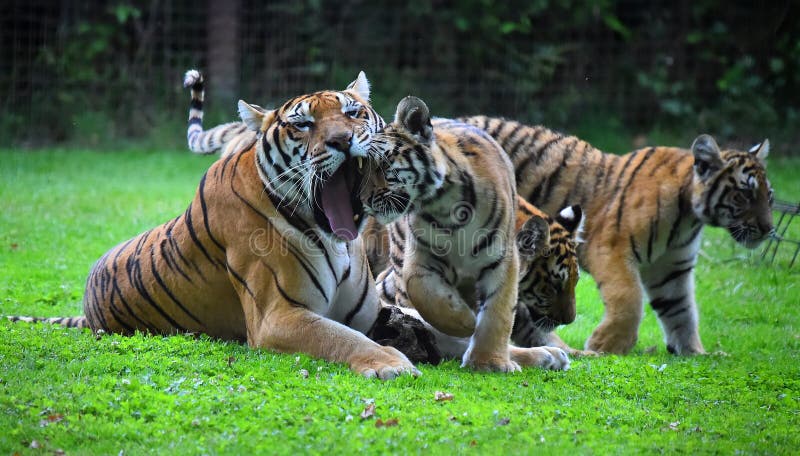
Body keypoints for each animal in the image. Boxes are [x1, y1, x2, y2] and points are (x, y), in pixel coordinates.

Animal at [8, 73, 427, 380]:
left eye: (354, 113)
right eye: (304, 124)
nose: (342, 140)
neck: (336, 239)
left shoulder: (368, 311)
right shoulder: (278, 316)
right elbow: (340, 338)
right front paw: (390, 363)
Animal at [358, 96, 572, 371]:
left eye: (382, 166)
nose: (362, 201)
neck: (442, 206)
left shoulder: (503, 259)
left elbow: (498, 313)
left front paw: (490, 362)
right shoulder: (419, 258)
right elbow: (424, 294)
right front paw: (464, 321)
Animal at [462, 116, 774, 355]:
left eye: (768, 196)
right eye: (745, 194)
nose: (769, 229)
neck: (689, 218)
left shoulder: (673, 268)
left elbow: (682, 311)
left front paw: (694, 352)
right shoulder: (611, 249)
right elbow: (630, 299)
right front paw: (607, 345)